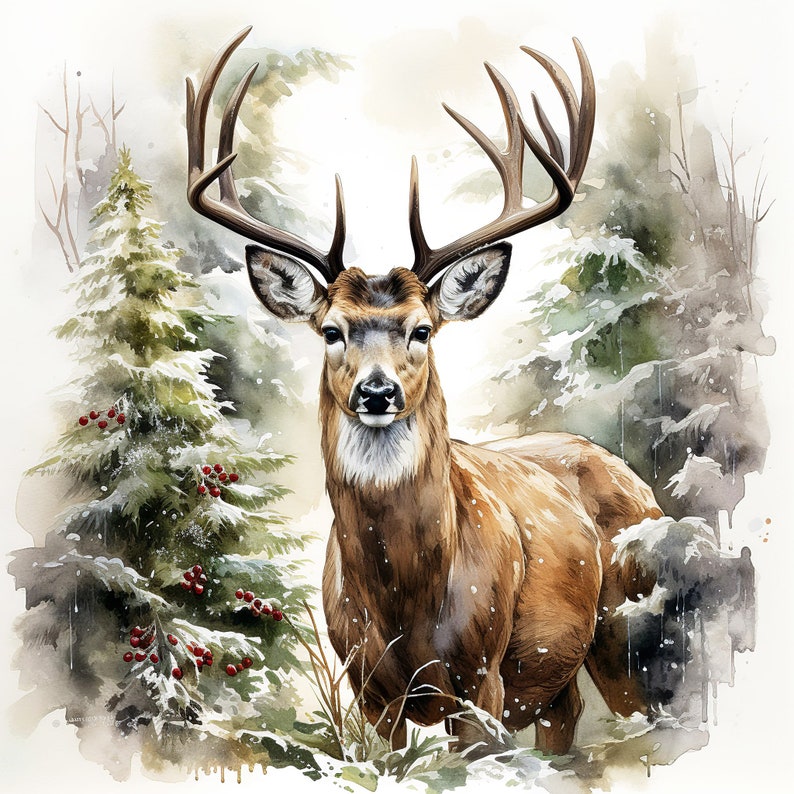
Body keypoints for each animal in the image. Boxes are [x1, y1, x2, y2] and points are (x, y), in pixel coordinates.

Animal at [186, 27, 663, 755]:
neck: (402, 598)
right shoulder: (367, 688)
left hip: (625, 625)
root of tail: (640, 483)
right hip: (557, 673)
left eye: (421, 329)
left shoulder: (481, 679)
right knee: (569, 722)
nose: (377, 392)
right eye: (331, 330)